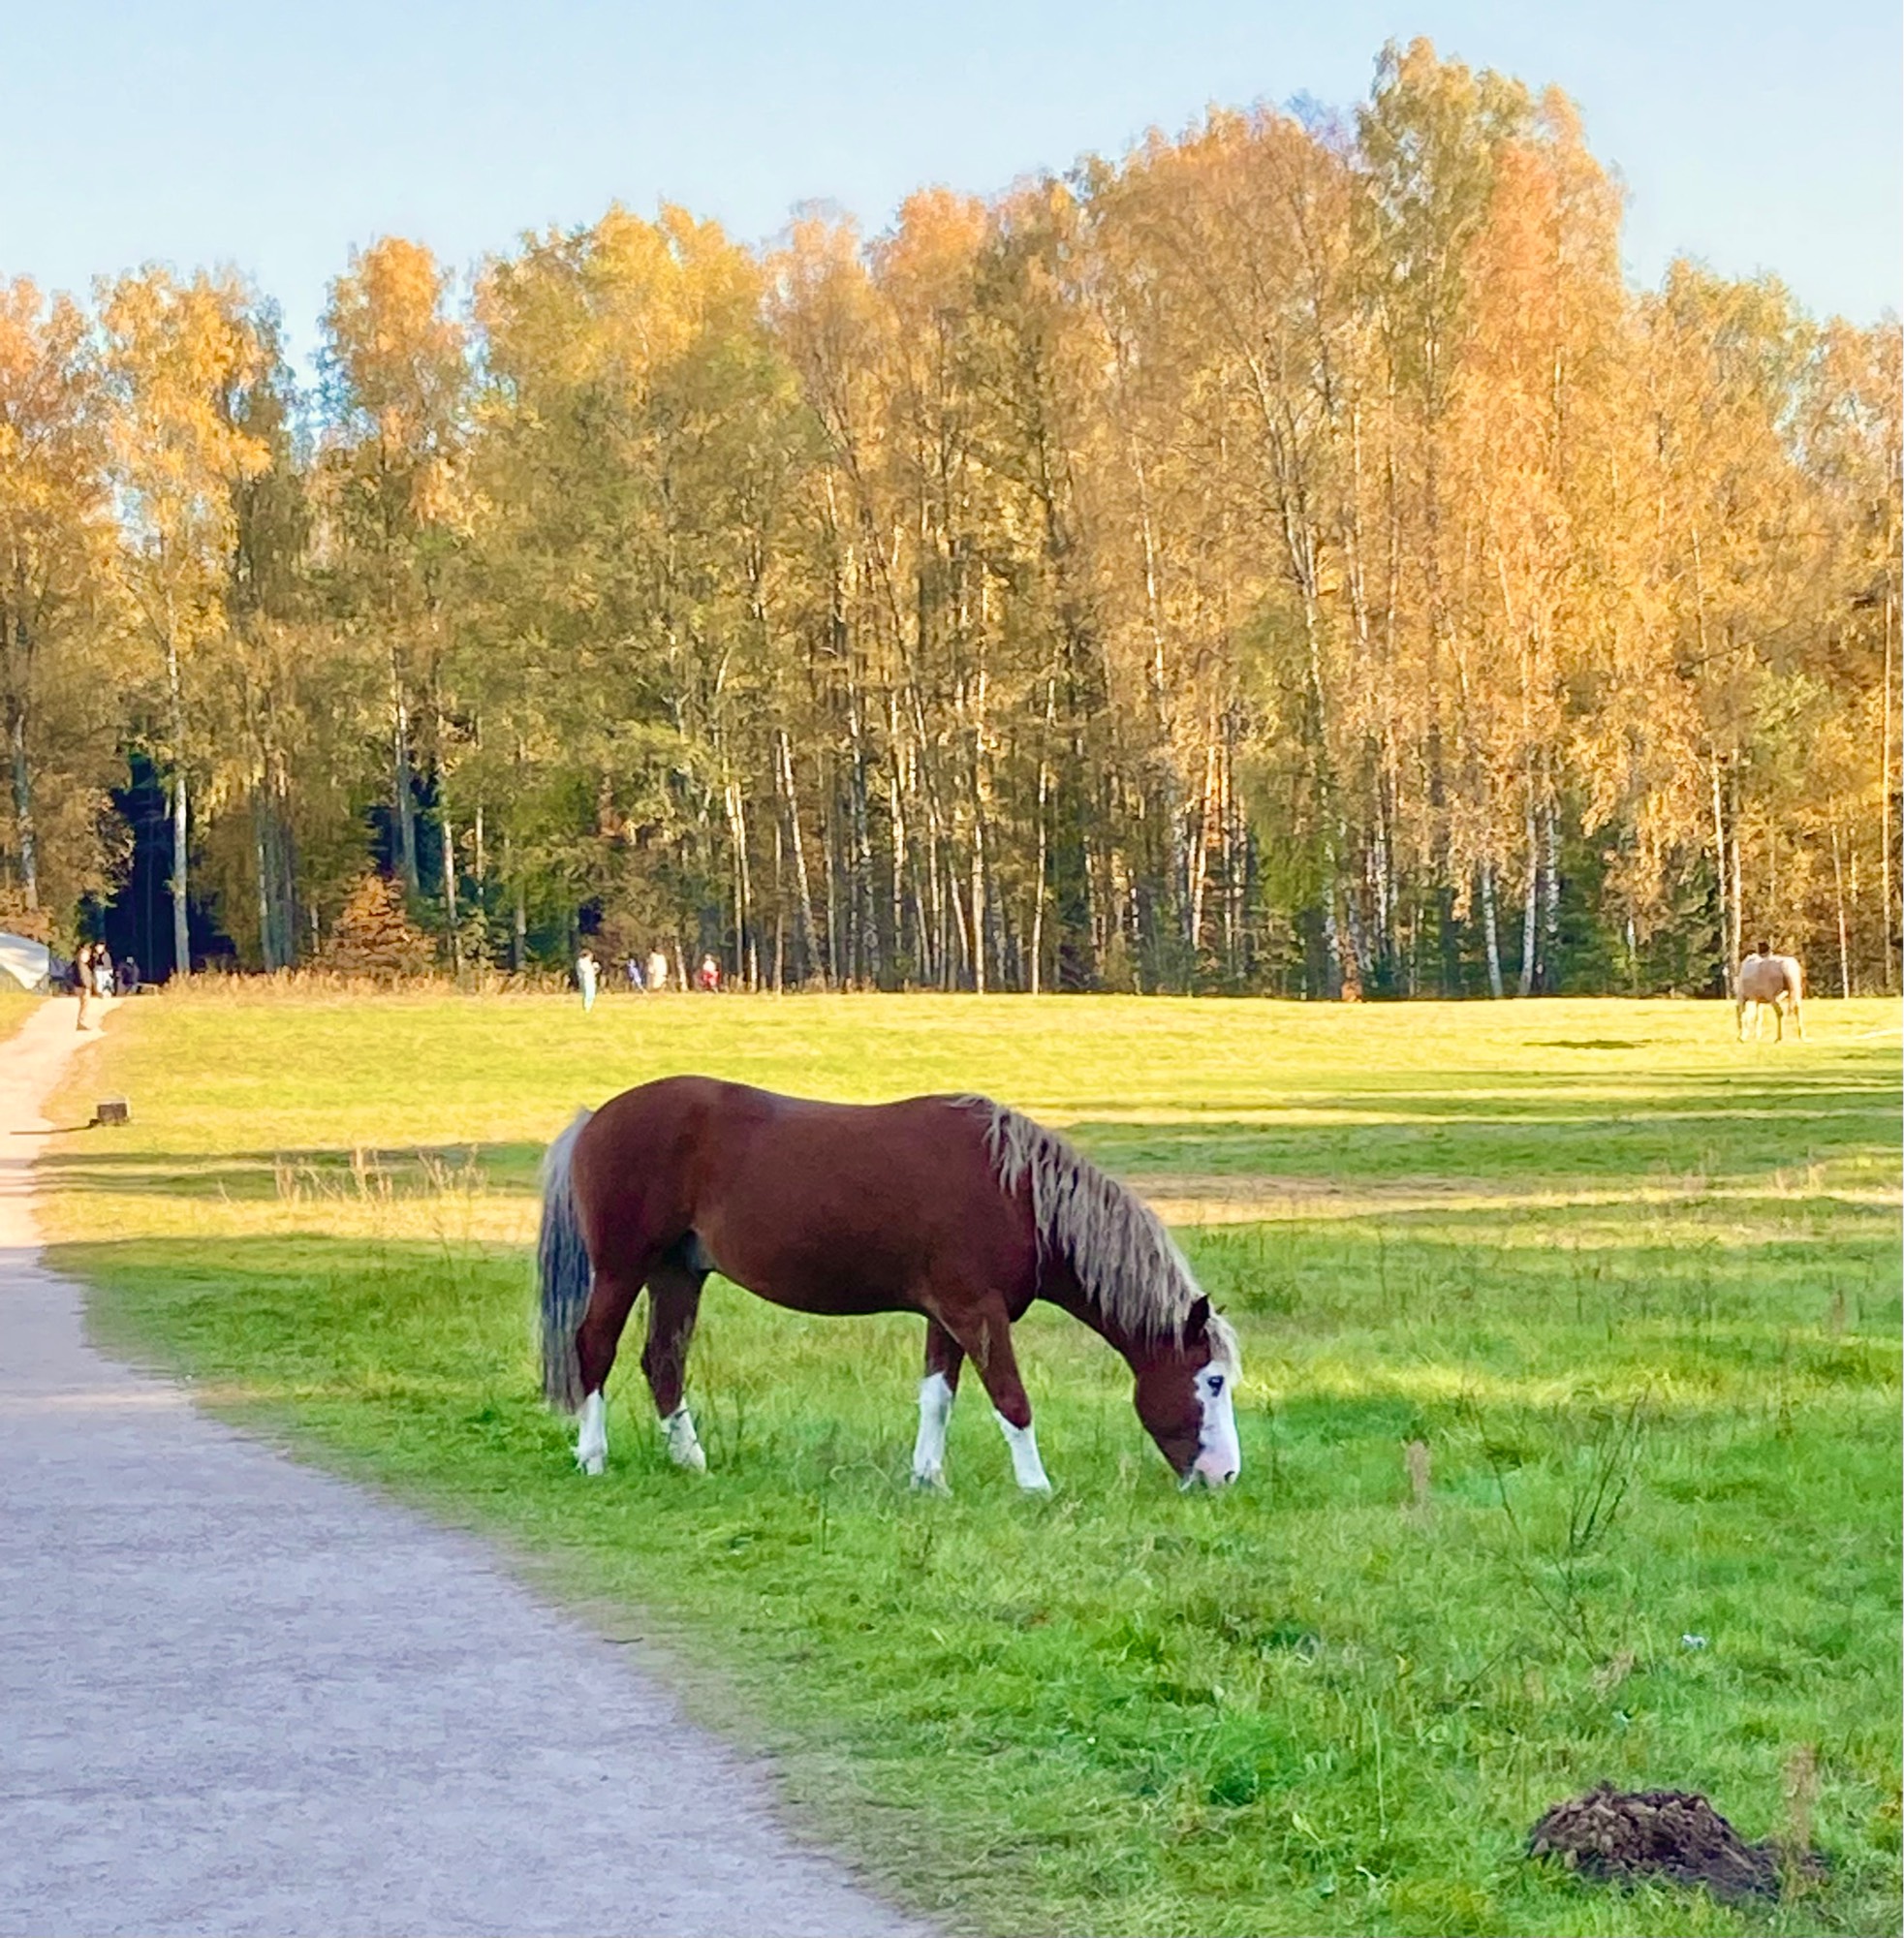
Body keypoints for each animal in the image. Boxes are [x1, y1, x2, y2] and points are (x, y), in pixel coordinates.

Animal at [543, 1085, 1240, 1488]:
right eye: (1212, 1381)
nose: (1227, 1474)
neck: (1017, 1193)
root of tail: (595, 1118)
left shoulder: (948, 1315)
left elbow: (937, 1398)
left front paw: (927, 1479)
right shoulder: (977, 1312)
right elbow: (1012, 1400)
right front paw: (1035, 1487)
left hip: (678, 1272)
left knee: (663, 1361)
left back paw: (690, 1461)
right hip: (623, 1269)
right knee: (595, 1349)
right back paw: (592, 1456)